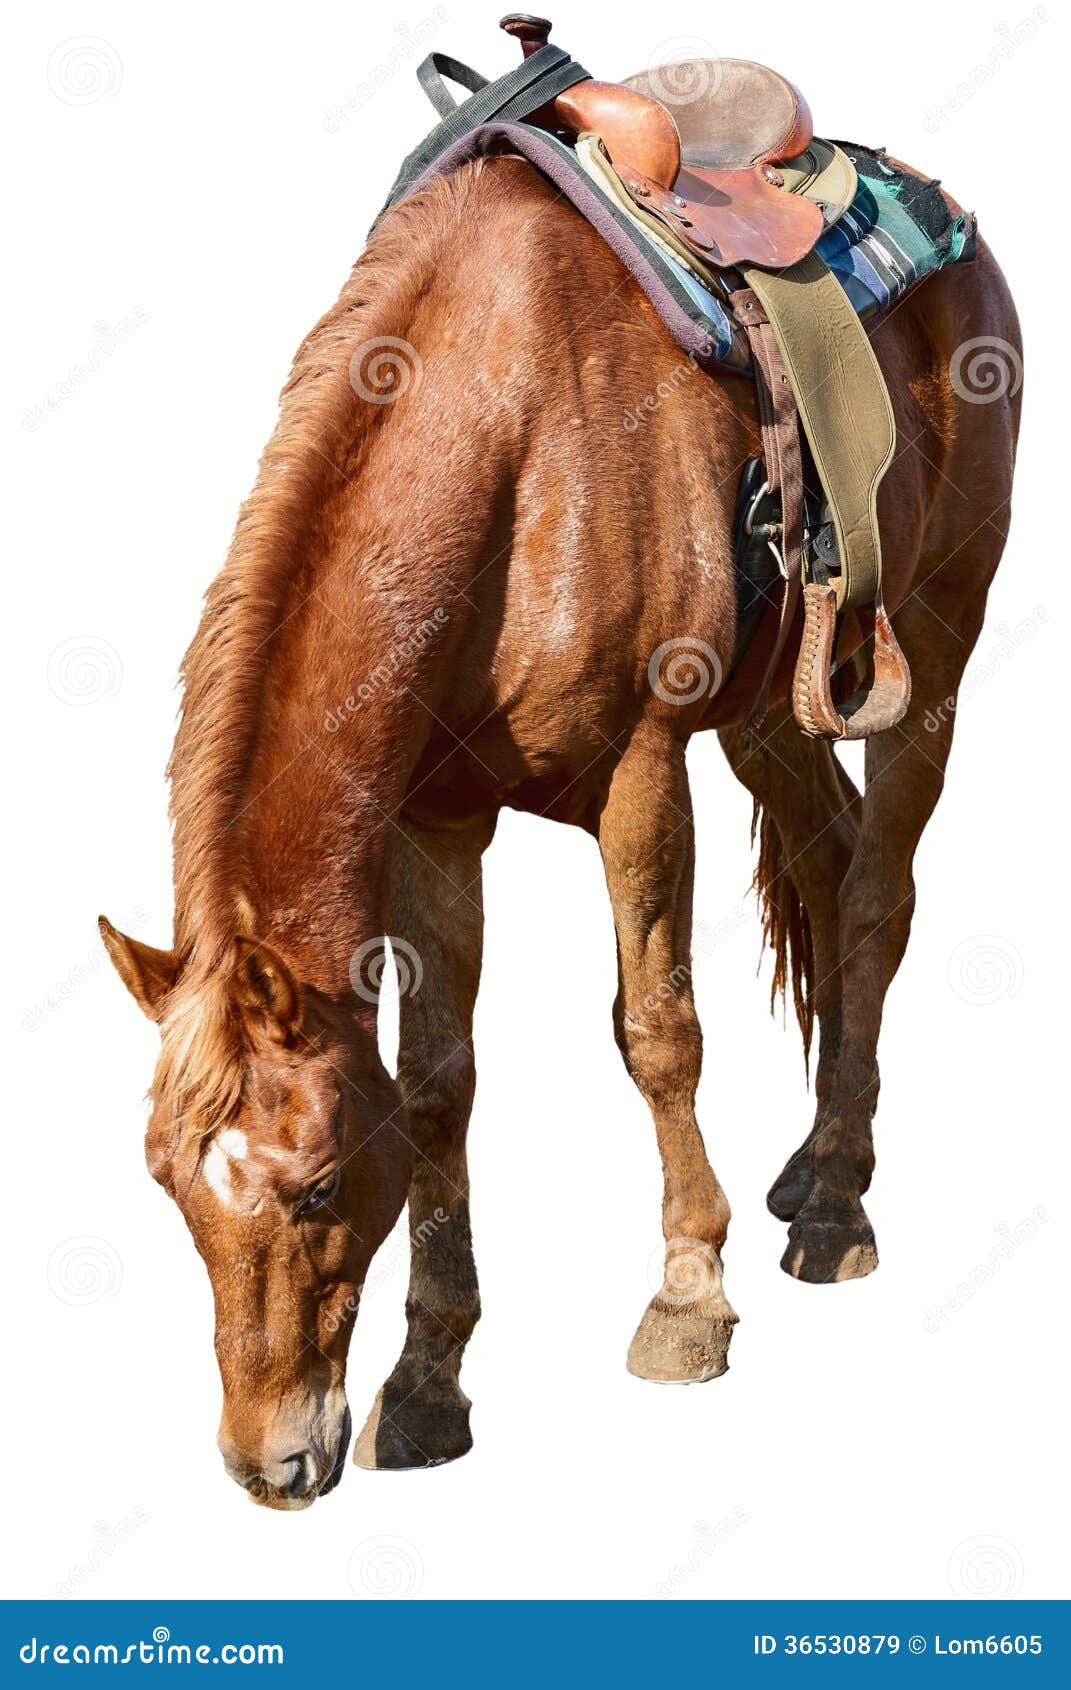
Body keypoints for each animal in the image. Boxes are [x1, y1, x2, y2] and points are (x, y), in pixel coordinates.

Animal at [100, 153, 1021, 1508]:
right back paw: (809, 1164)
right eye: (166, 1182)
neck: (514, 441)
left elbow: (658, 1033)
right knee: (829, 850)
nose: (270, 1463)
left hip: (940, 633)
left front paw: (687, 1300)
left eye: (316, 1185)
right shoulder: (435, 822)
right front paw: (427, 1384)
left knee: (876, 895)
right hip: (775, 710)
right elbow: (439, 1083)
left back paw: (836, 1209)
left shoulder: (641, 772)